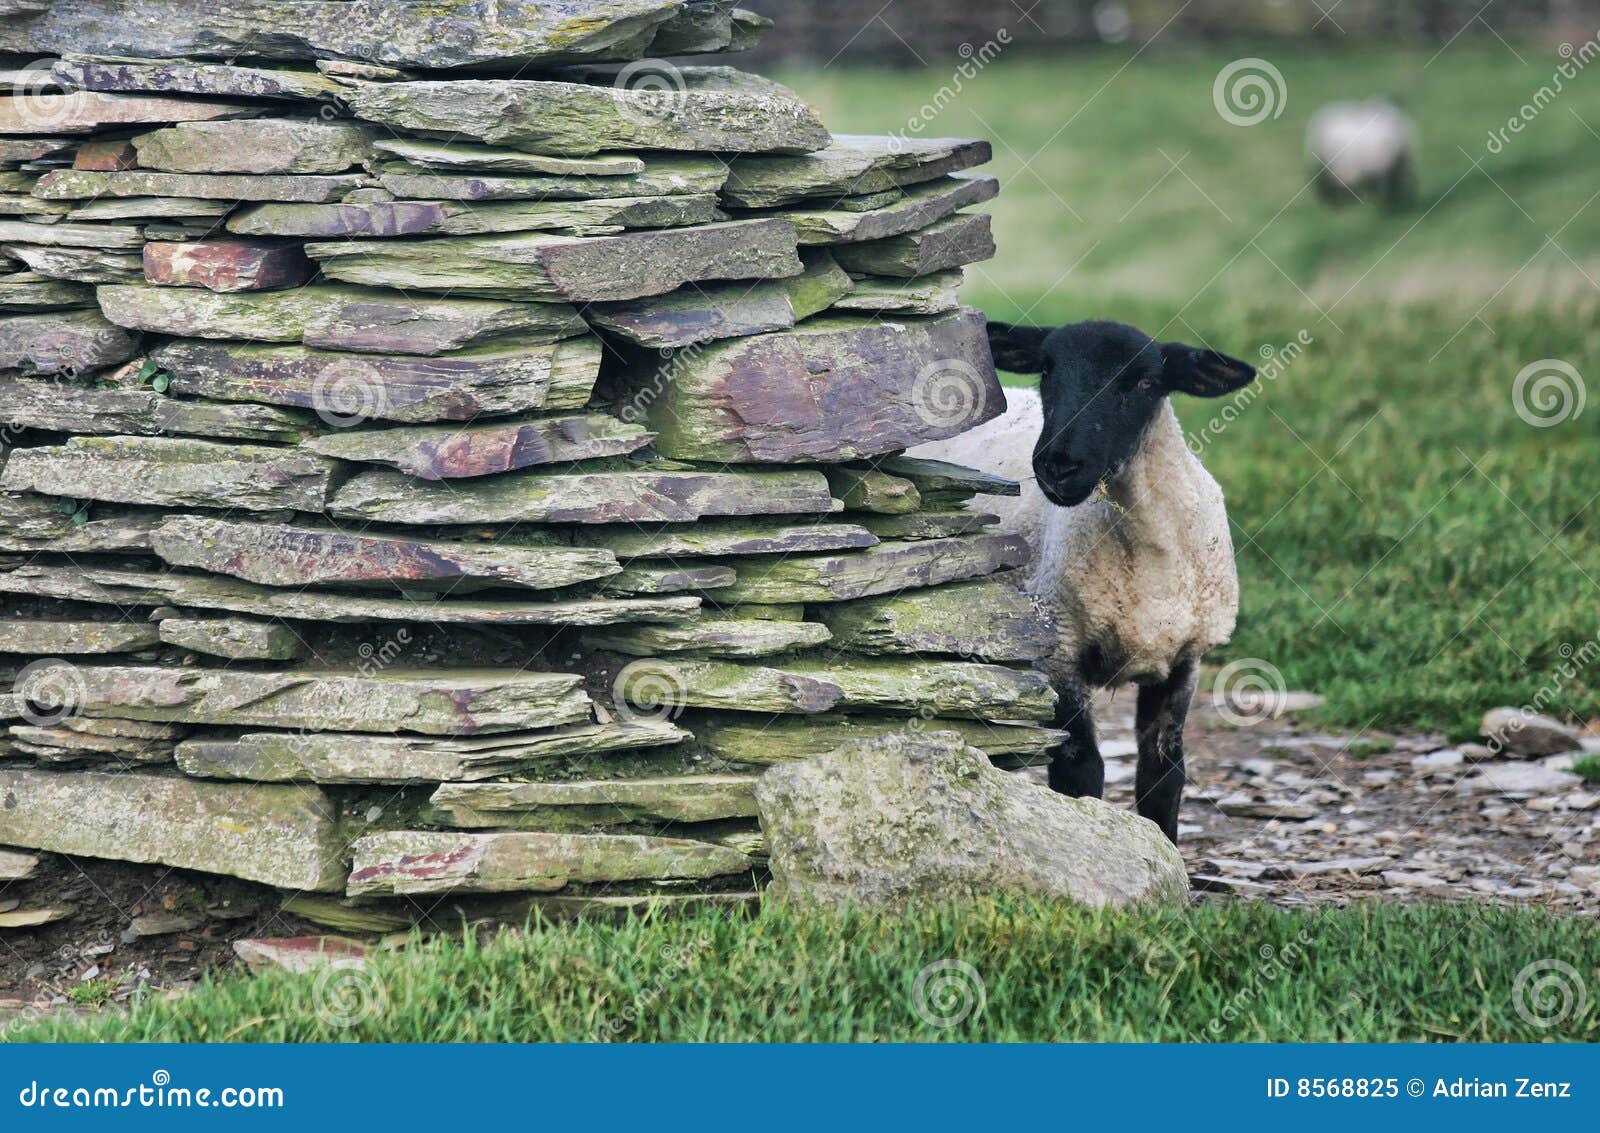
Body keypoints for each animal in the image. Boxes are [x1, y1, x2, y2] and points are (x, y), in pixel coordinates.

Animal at [911, 321, 1256, 843]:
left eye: (1143, 383)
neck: (1150, 549)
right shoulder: (1059, 648)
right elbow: (1080, 770)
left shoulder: (1184, 657)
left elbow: (1163, 774)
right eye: (1046, 369)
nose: (1059, 465)